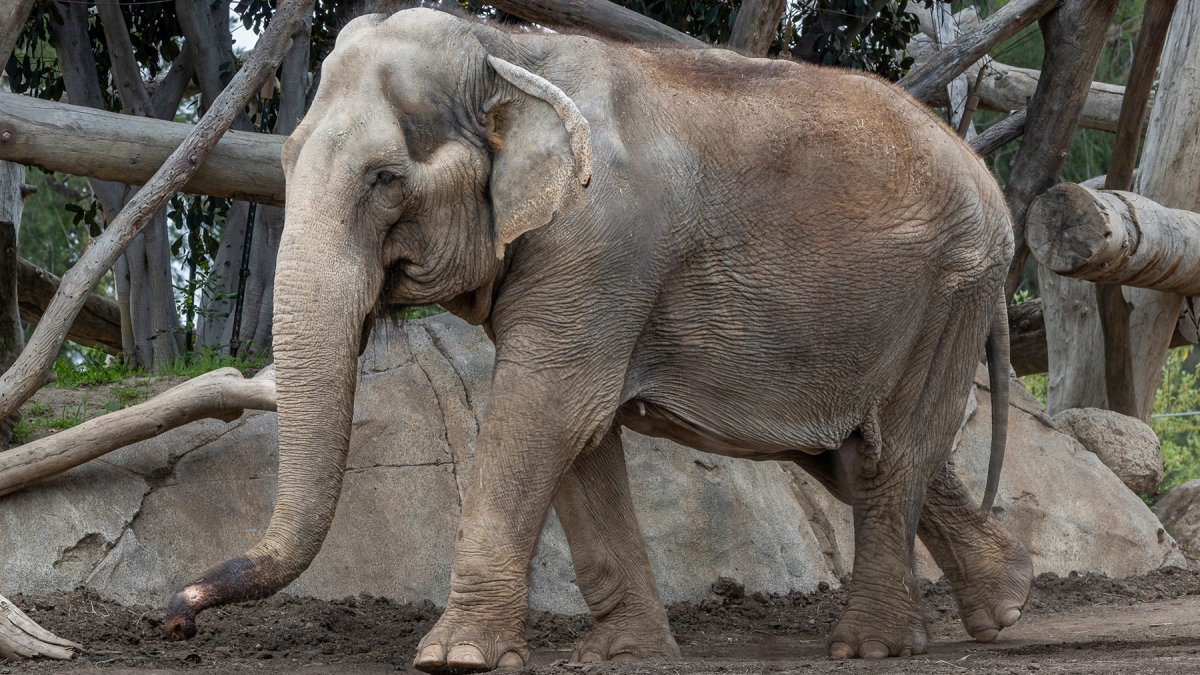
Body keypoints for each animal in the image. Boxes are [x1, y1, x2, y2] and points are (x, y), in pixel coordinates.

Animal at [162, 6, 1033, 672]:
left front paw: (454, 658)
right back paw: (1003, 603)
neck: (505, 53)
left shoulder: (601, 242)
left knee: (893, 451)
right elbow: (580, 438)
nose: (177, 611)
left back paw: (870, 646)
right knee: (852, 454)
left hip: (953, 287)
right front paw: (621, 655)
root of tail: (981, 166)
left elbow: (549, 407)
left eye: (385, 179)